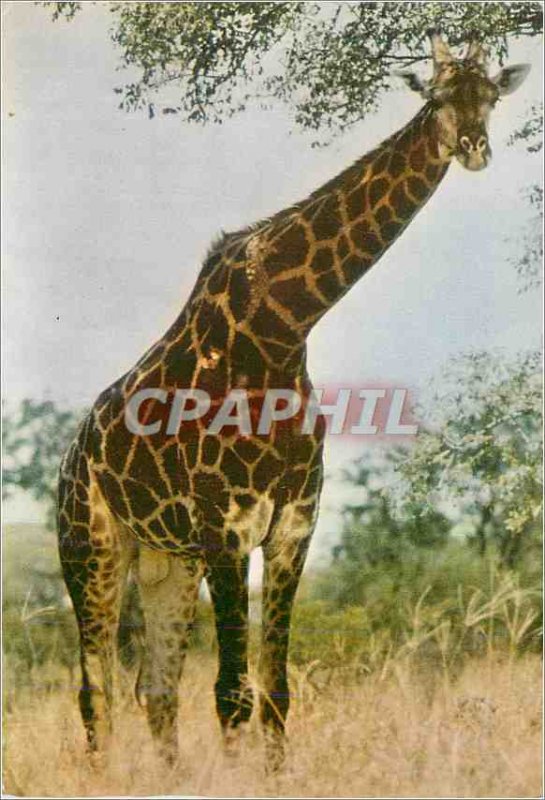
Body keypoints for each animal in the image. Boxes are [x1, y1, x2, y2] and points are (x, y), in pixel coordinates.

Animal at [57, 32, 529, 768]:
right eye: (436, 96)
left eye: (489, 96)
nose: (474, 147)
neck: (281, 330)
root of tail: (70, 457)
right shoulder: (225, 527)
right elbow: (231, 694)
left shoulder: (292, 526)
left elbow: (275, 692)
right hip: (91, 545)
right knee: (95, 690)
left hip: (167, 561)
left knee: (153, 690)